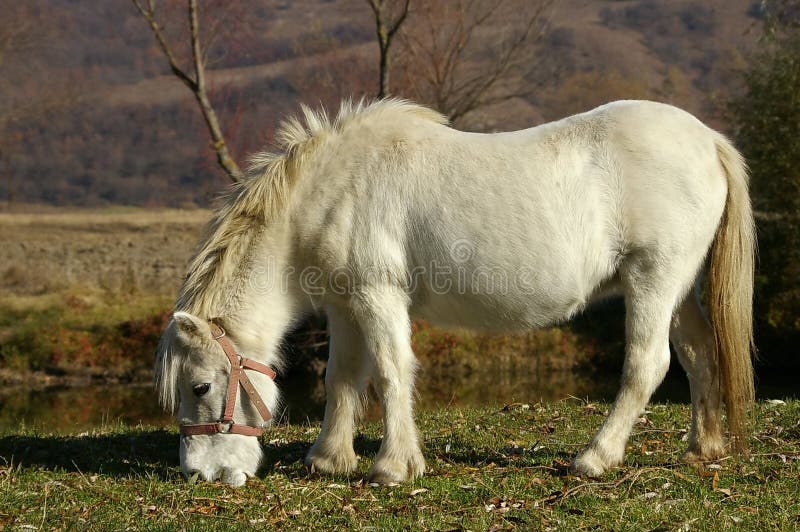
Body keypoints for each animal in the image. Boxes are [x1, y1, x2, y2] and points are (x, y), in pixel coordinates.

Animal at [155, 98, 755, 487]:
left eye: (201, 386)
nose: (201, 475)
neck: (332, 190)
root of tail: (708, 140)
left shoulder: (377, 294)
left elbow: (391, 371)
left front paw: (393, 467)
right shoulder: (346, 305)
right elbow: (342, 377)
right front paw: (329, 459)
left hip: (652, 277)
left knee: (646, 365)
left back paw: (596, 458)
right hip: (677, 287)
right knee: (699, 352)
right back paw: (704, 448)